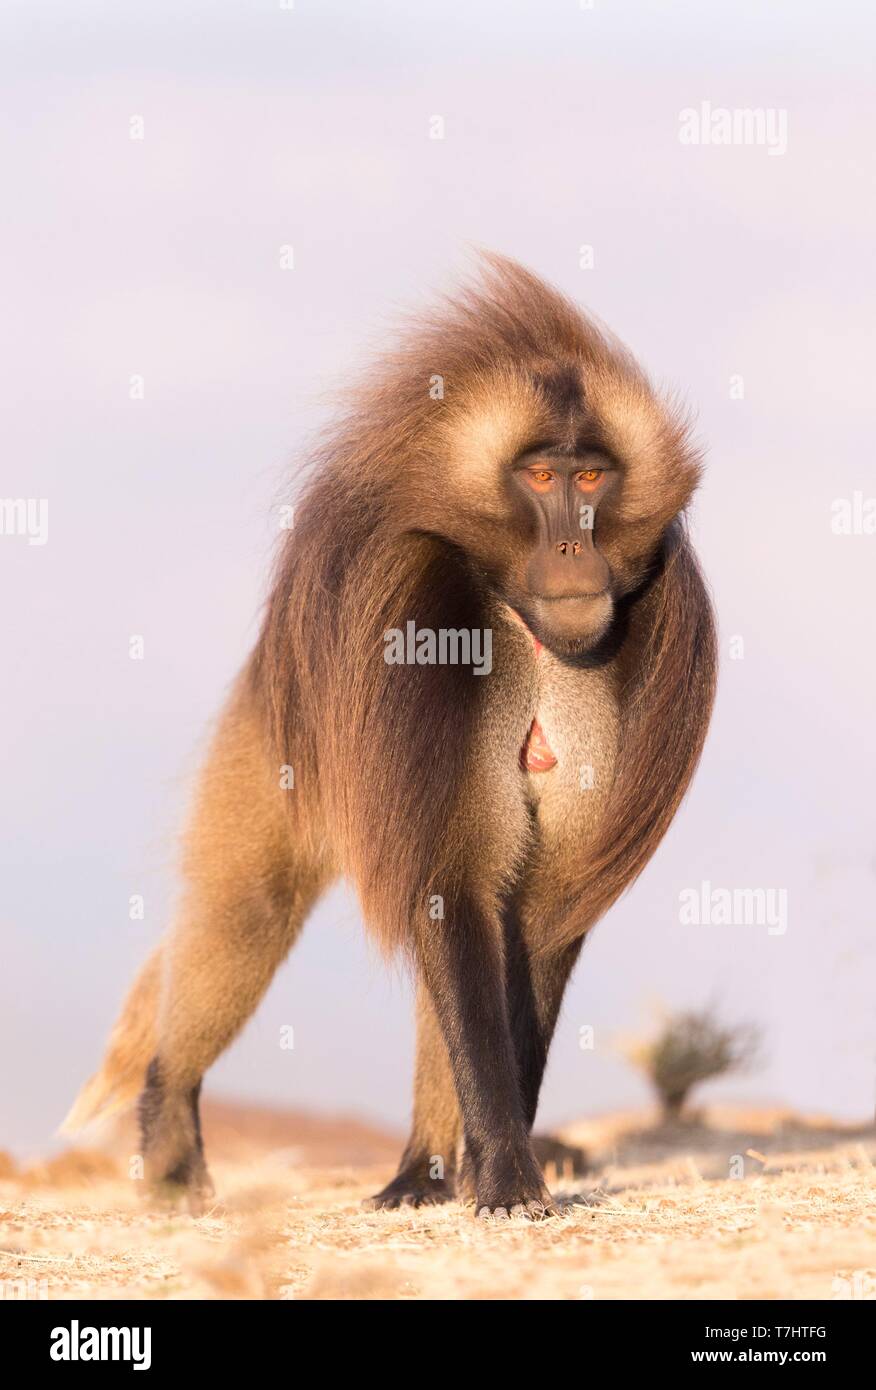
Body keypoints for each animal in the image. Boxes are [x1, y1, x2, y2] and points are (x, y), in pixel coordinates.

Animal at [62, 255, 716, 1220]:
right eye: (541, 479)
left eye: (593, 479)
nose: (574, 551)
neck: (525, 626)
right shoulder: (422, 622)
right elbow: (456, 887)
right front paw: (507, 1173)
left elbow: (538, 910)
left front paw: (495, 1162)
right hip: (280, 737)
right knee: (250, 906)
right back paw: (172, 1129)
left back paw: (421, 1170)